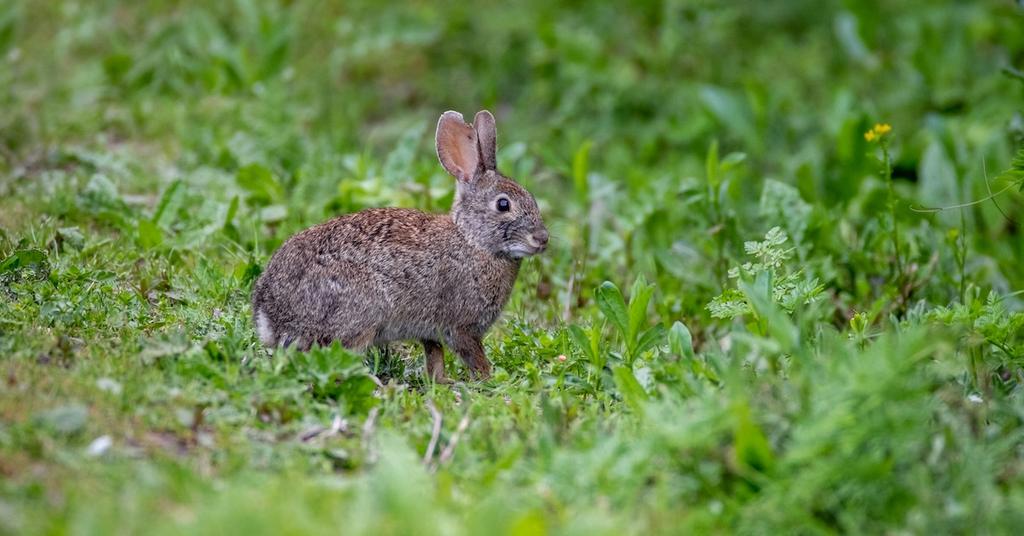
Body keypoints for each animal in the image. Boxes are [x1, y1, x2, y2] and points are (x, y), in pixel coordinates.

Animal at [251, 110, 548, 382]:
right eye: (503, 205)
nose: (542, 239)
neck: (472, 241)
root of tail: (270, 315)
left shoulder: (432, 332)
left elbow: (435, 357)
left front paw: (441, 382)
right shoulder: (461, 327)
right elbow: (473, 356)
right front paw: (489, 379)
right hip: (361, 313)